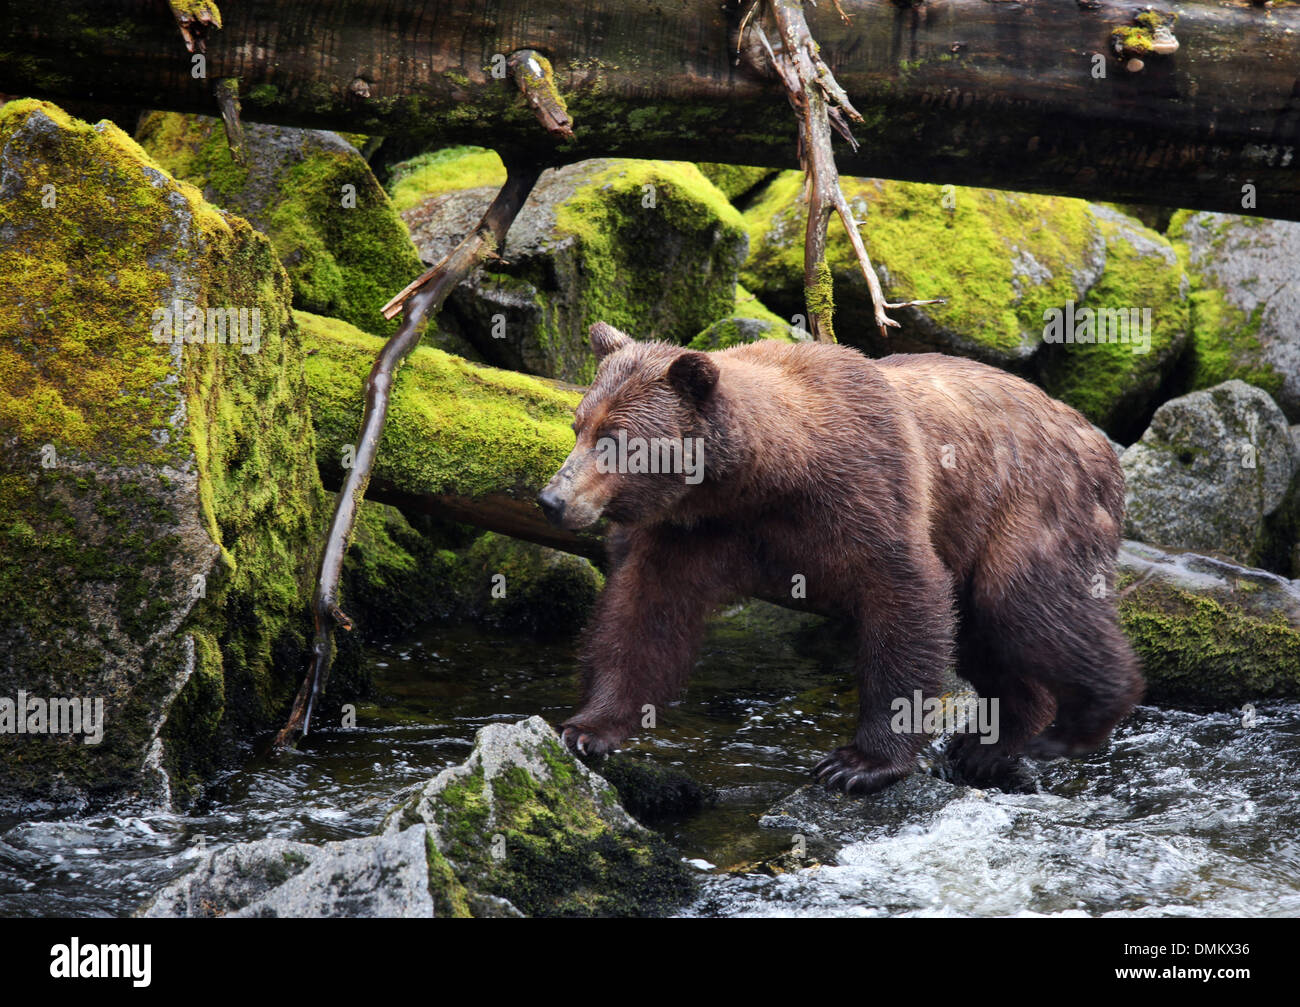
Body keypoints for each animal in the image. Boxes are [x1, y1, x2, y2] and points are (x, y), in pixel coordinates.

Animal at [537, 322, 1144, 794]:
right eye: (579, 426)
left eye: (617, 439)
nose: (552, 500)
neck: (764, 478)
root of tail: (1095, 437)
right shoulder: (691, 531)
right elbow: (642, 614)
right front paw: (588, 728)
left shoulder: (867, 490)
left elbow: (905, 597)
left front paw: (858, 763)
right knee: (988, 634)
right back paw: (991, 742)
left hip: (1029, 506)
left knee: (1029, 604)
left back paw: (1081, 720)